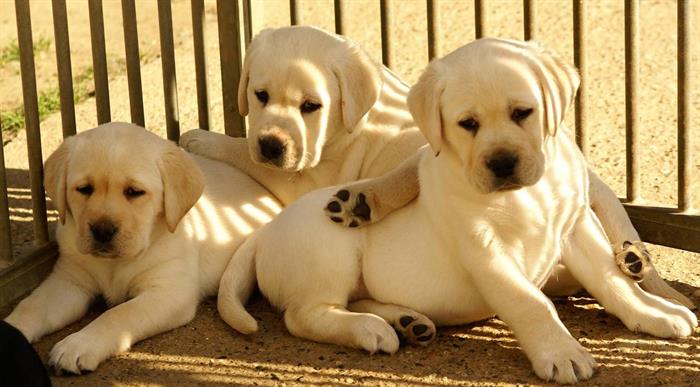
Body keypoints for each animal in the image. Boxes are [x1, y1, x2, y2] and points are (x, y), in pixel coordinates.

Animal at [4, 123, 282, 374]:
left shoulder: (168, 292)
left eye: (134, 192)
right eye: (84, 189)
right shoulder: (70, 281)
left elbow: (119, 314)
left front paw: (78, 345)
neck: (114, 263)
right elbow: (31, 306)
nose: (102, 231)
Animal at [217, 38, 696, 384]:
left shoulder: (575, 230)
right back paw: (371, 329)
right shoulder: (485, 250)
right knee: (304, 316)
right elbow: (531, 303)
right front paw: (560, 353)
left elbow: (614, 282)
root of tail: (265, 230)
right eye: (468, 124)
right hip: (328, 255)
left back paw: (407, 321)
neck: (522, 197)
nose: (502, 163)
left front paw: (653, 314)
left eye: (523, 113)